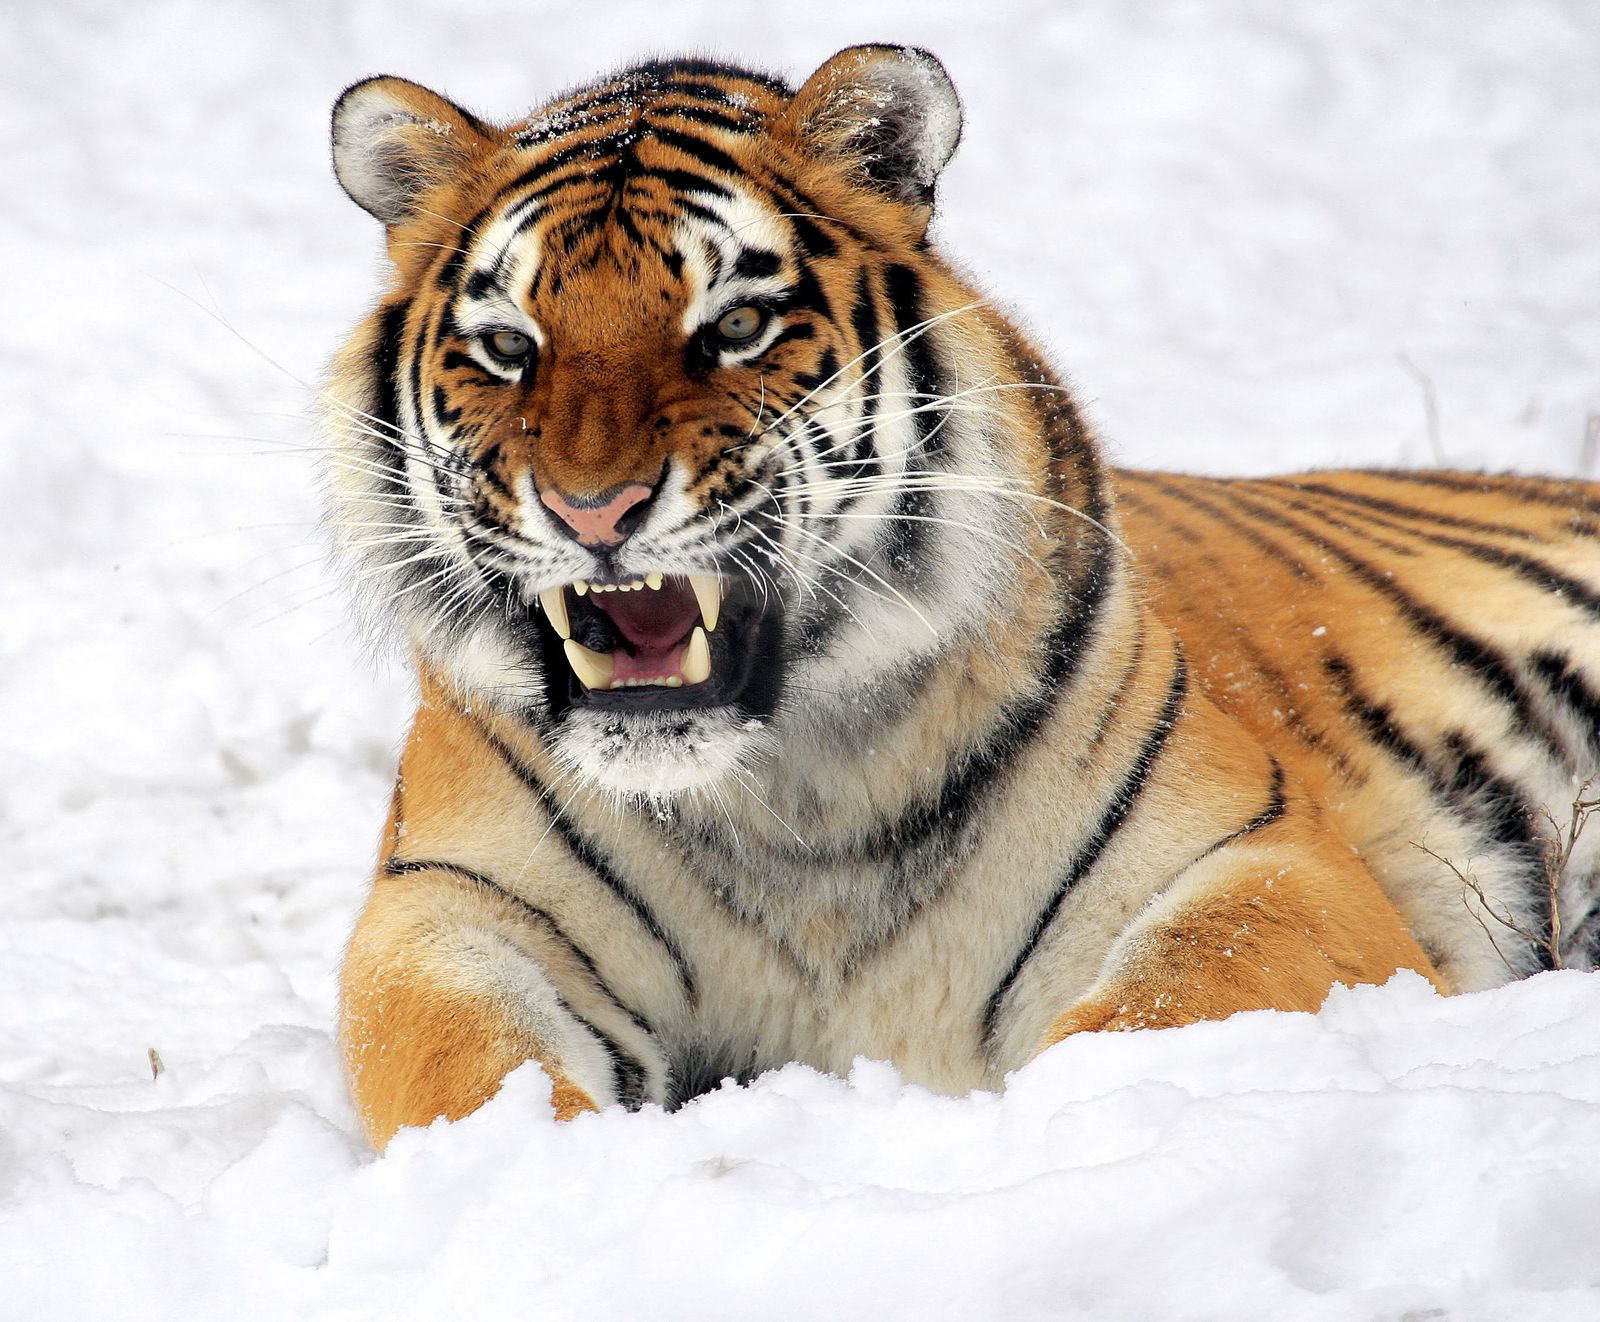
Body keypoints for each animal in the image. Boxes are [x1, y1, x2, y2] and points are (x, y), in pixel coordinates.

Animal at [322, 45, 1600, 1150]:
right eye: (508, 346)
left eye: (736, 325)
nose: (593, 510)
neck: (790, 795)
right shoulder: (449, 908)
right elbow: (467, 1069)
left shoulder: (1259, 858)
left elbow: (1155, 1011)